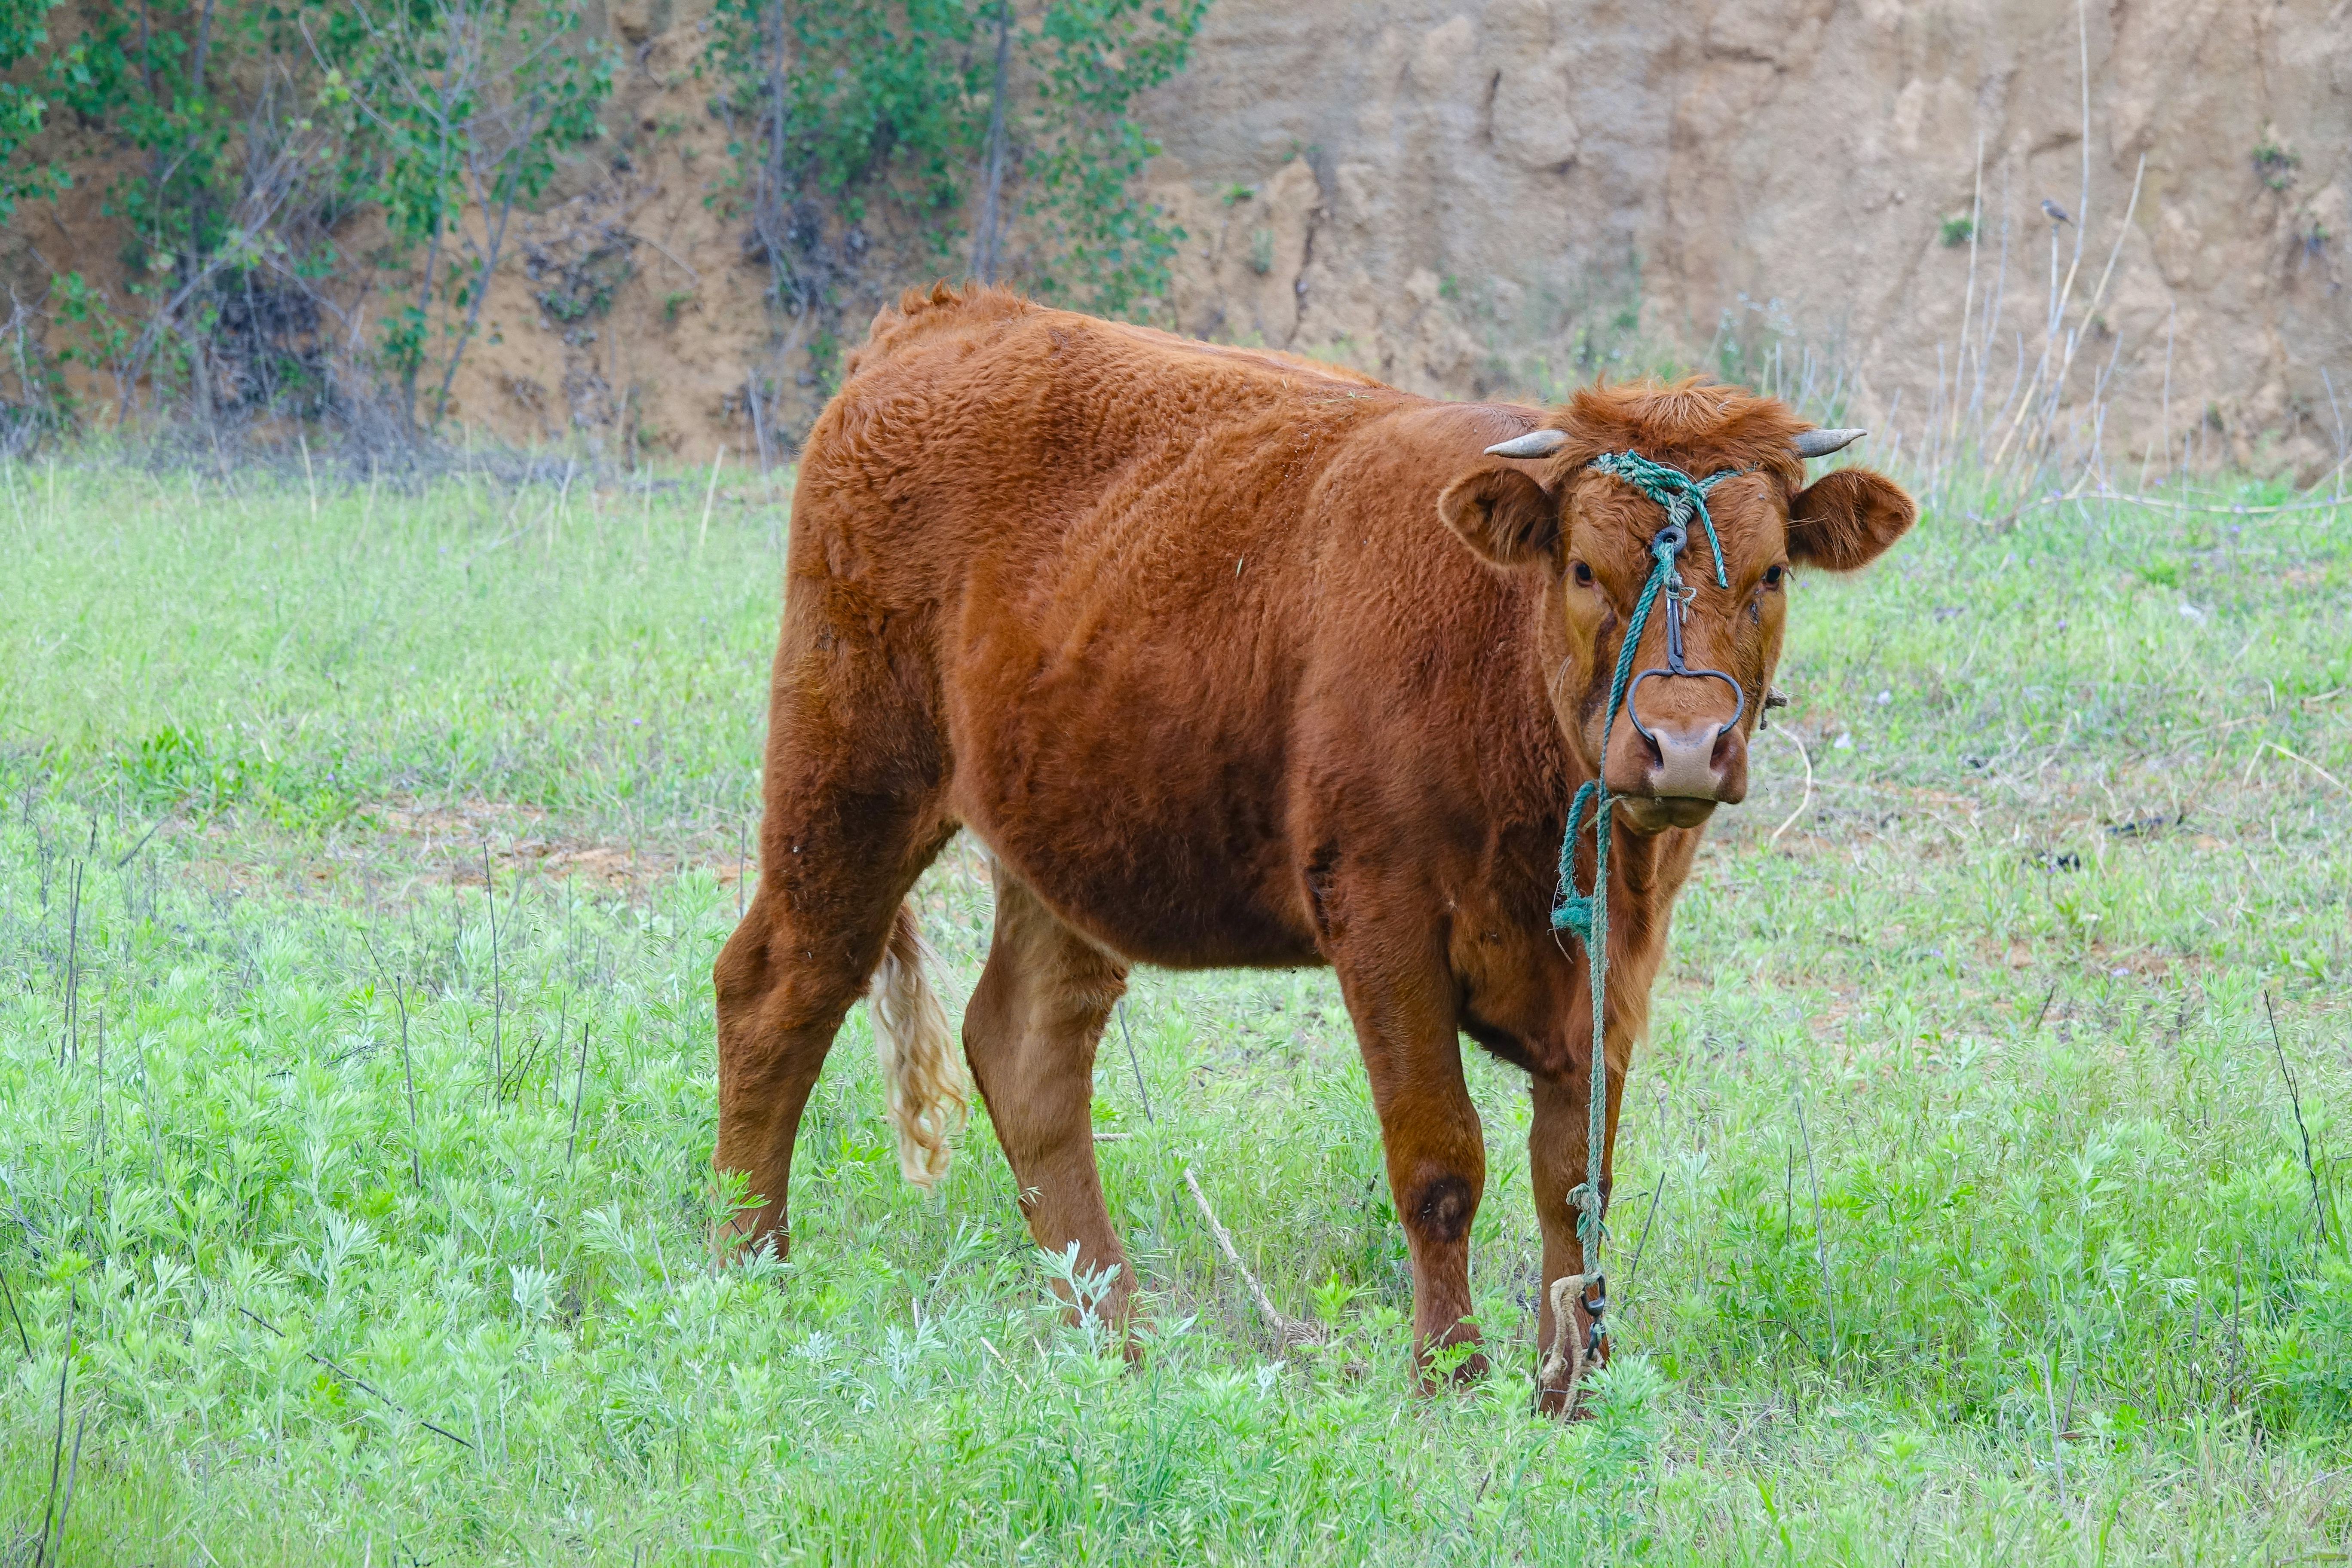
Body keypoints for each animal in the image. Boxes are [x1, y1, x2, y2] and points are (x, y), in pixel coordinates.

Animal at [713, 282, 1916, 1410]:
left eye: (1770, 574)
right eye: (1583, 569)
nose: (1682, 746)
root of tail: (946, 319)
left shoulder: (1616, 958)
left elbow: (1576, 1176)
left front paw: (1575, 1390)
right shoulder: (1381, 918)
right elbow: (1441, 1161)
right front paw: (1449, 1378)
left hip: (1056, 846)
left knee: (1026, 1048)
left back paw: (1118, 1339)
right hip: (850, 781)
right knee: (778, 991)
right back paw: (746, 1273)